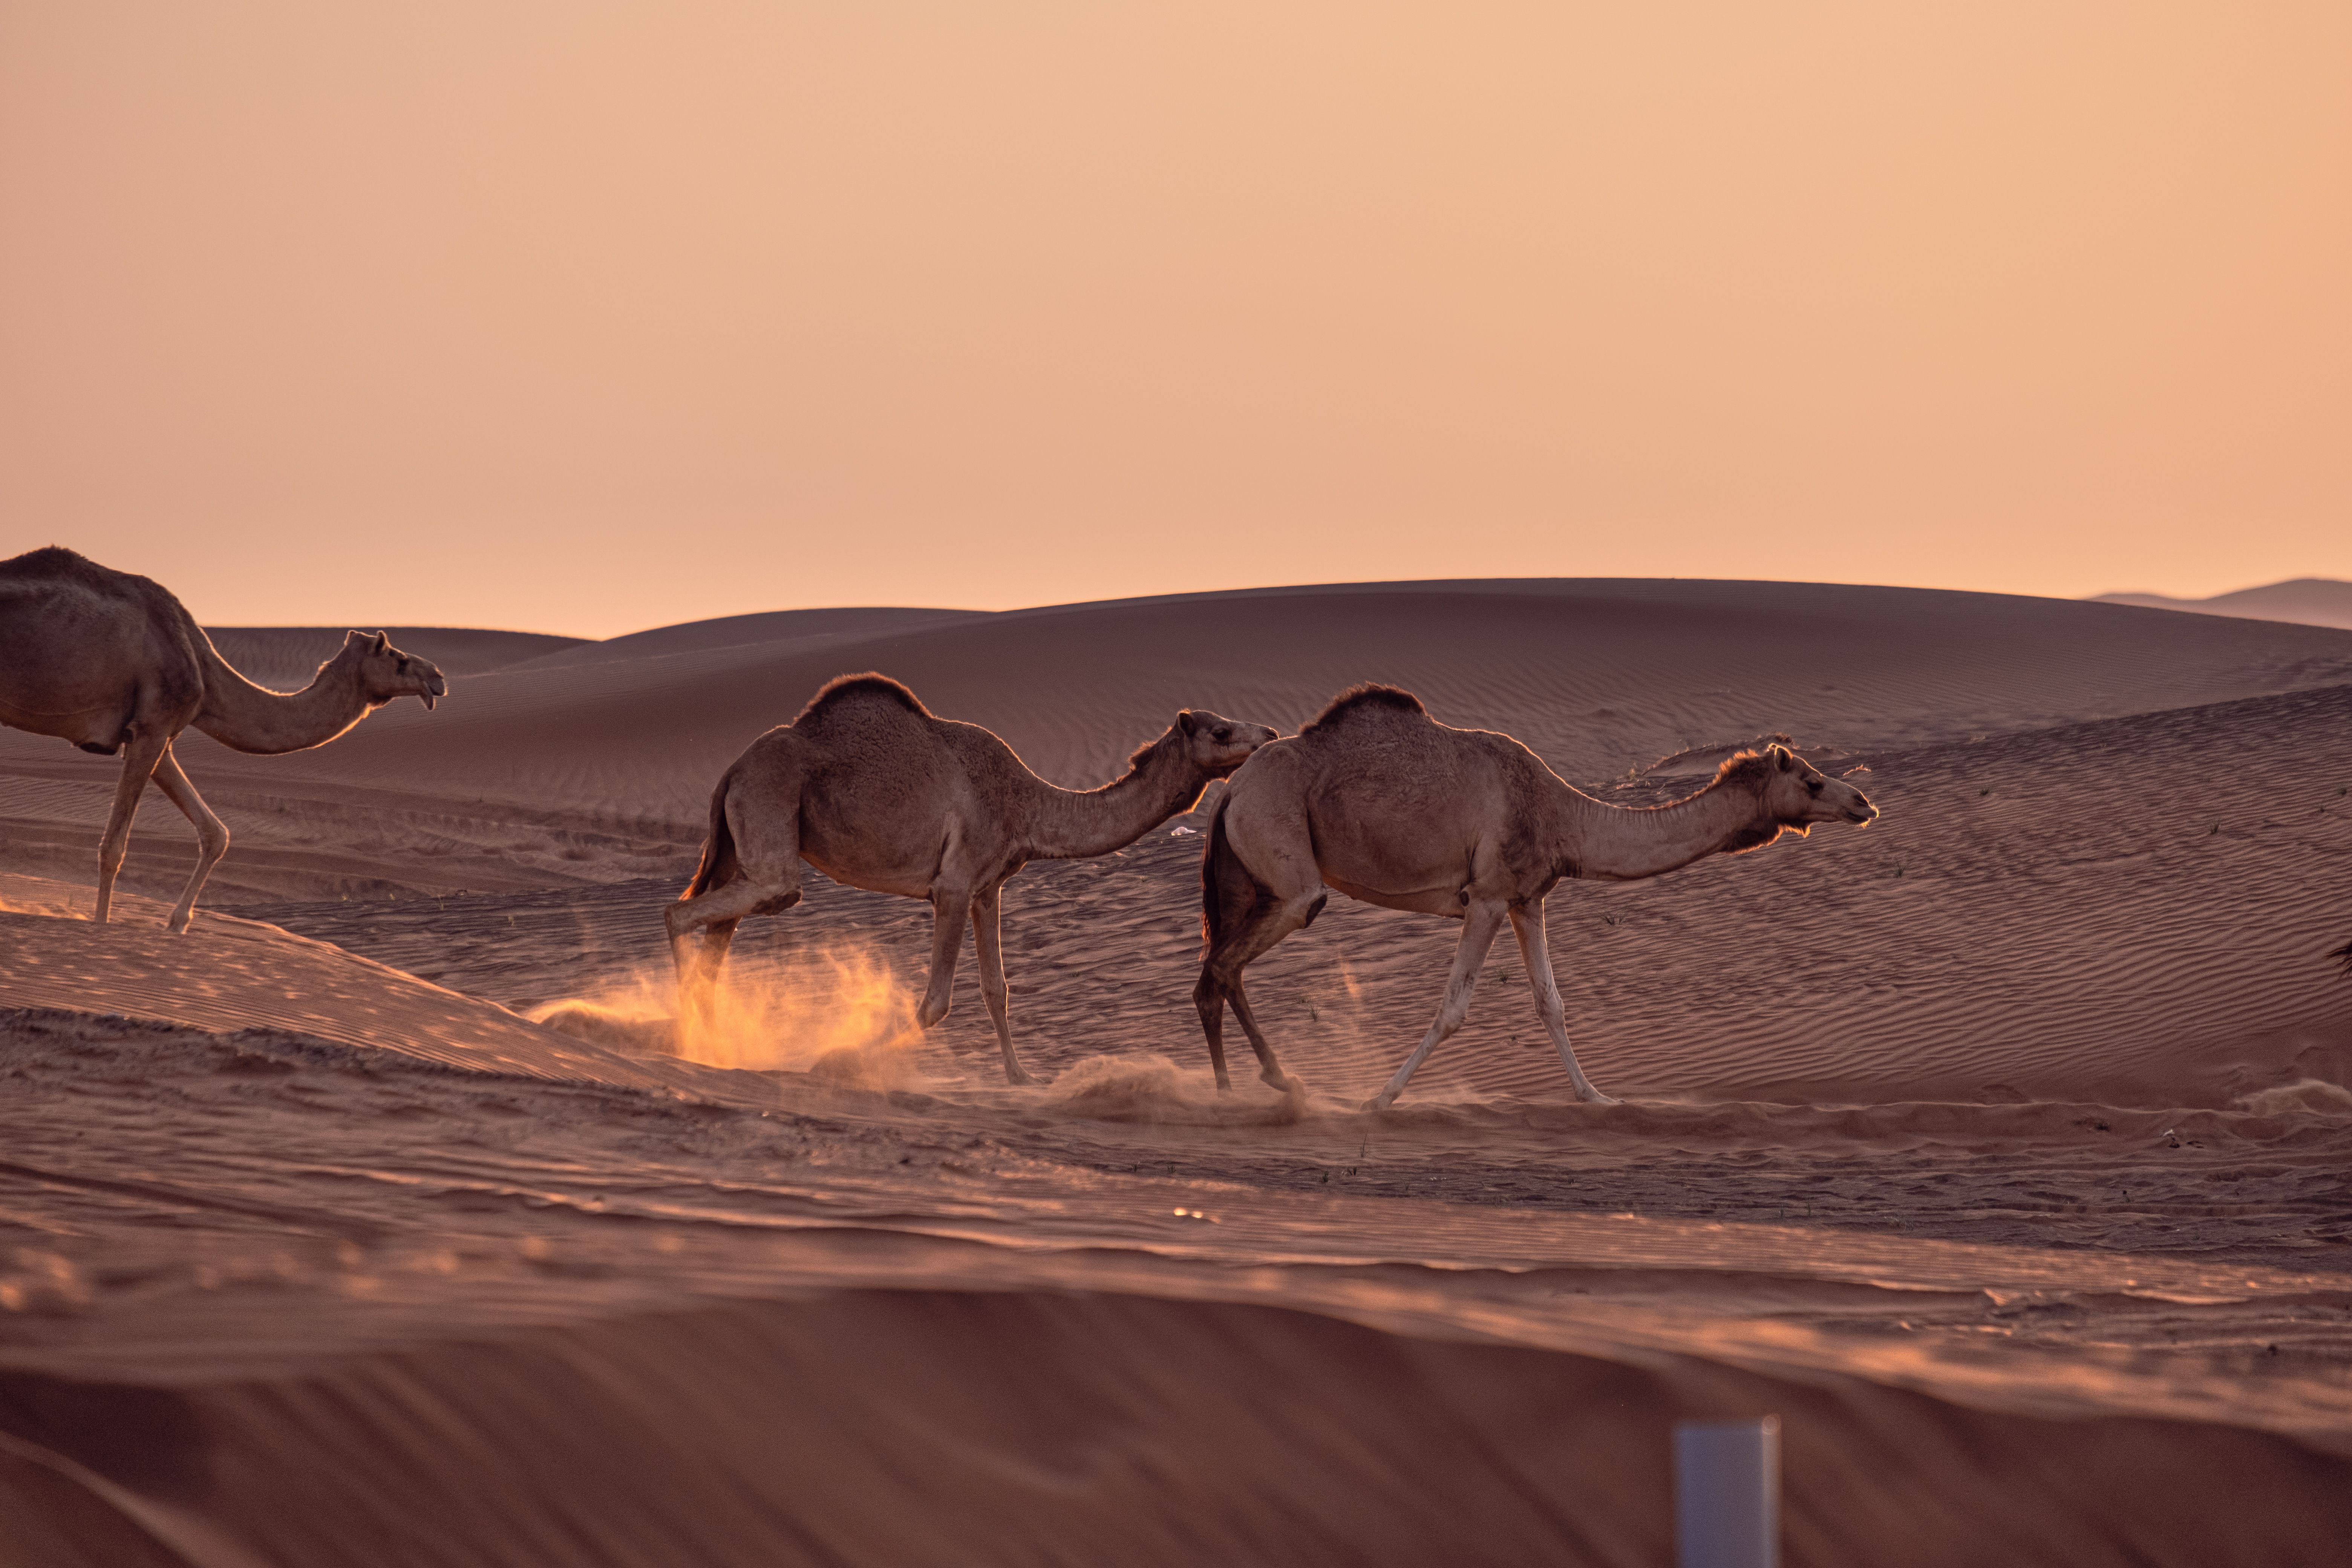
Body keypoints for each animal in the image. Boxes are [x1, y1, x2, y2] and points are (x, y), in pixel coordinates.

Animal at [0, 547, 446, 932]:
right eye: (398, 658)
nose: (438, 677)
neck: (204, 668)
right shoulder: (154, 725)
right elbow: (113, 848)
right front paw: (101, 928)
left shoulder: (153, 734)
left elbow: (216, 834)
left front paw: (178, 924)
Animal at [667, 673, 1276, 1084]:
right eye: (1221, 731)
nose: (1269, 732)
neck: (1027, 806)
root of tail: (733, 770)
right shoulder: (954, 886)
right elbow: (936, 1001)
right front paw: (844, 1061)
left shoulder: (989, 888)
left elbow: (996, 988)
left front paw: (1021, 1078)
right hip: (770, 817)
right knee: (688, 911)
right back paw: (684, 1033)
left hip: (741, 843)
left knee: (720, 935)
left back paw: (710, 1044)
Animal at [1194, 685, 1878, 1108]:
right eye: (1812, 781)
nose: (1863, 802)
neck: (1563, 815)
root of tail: (1230, 792)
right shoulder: (1489, 896)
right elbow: (1453, 1009)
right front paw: (1380, 1098)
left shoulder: (1529, 899)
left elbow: (1552, 1003)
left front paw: (1596, 1097)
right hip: (1286, 863)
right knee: (1230, 962)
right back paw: (1255, 1087)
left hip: (1246, 875)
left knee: (1218, 972)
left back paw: (1257, 1084)